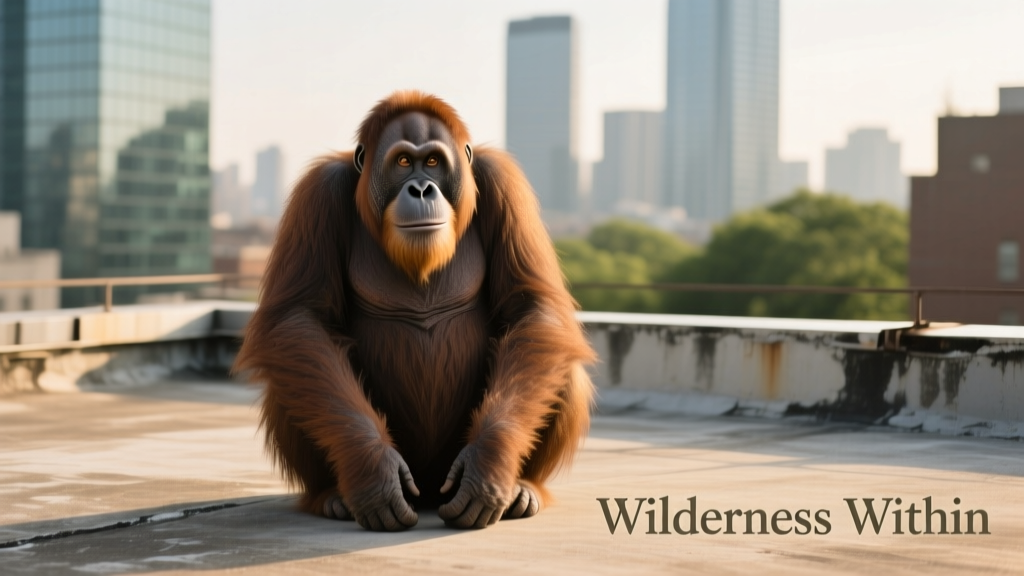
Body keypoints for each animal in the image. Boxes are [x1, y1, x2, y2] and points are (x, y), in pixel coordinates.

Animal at [234, 91, 595, 531]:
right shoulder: (319, 191)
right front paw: (373, 474)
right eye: (404, 161)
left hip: (444, 473)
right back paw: (332, 496)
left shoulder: (502, 181)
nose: (421, 189)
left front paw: (487, 468)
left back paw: (523, 489)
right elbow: (297, 320)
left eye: (434, 162)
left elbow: (533, 309)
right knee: (294, 370)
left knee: (560, 364)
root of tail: (428, 492)